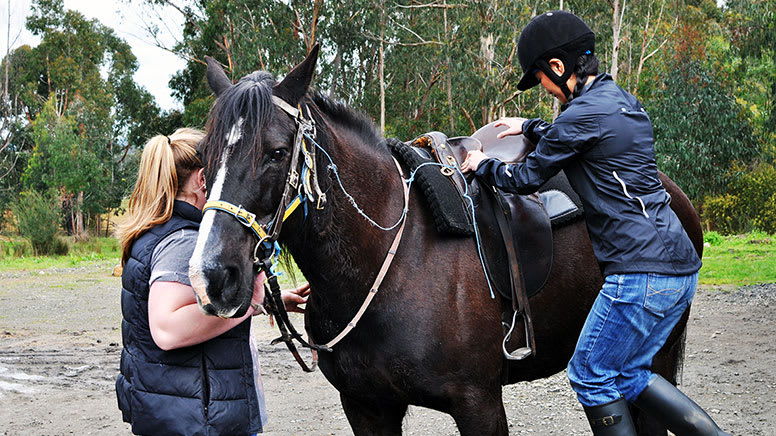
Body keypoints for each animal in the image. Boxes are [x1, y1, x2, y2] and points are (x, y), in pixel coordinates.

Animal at [189, 46, 702, 436]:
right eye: (205, 155)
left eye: (277, 153)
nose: (211, 276)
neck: (390, 264)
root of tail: (672, 192)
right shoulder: (367, 408)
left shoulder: (479, 405)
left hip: (654, 354)